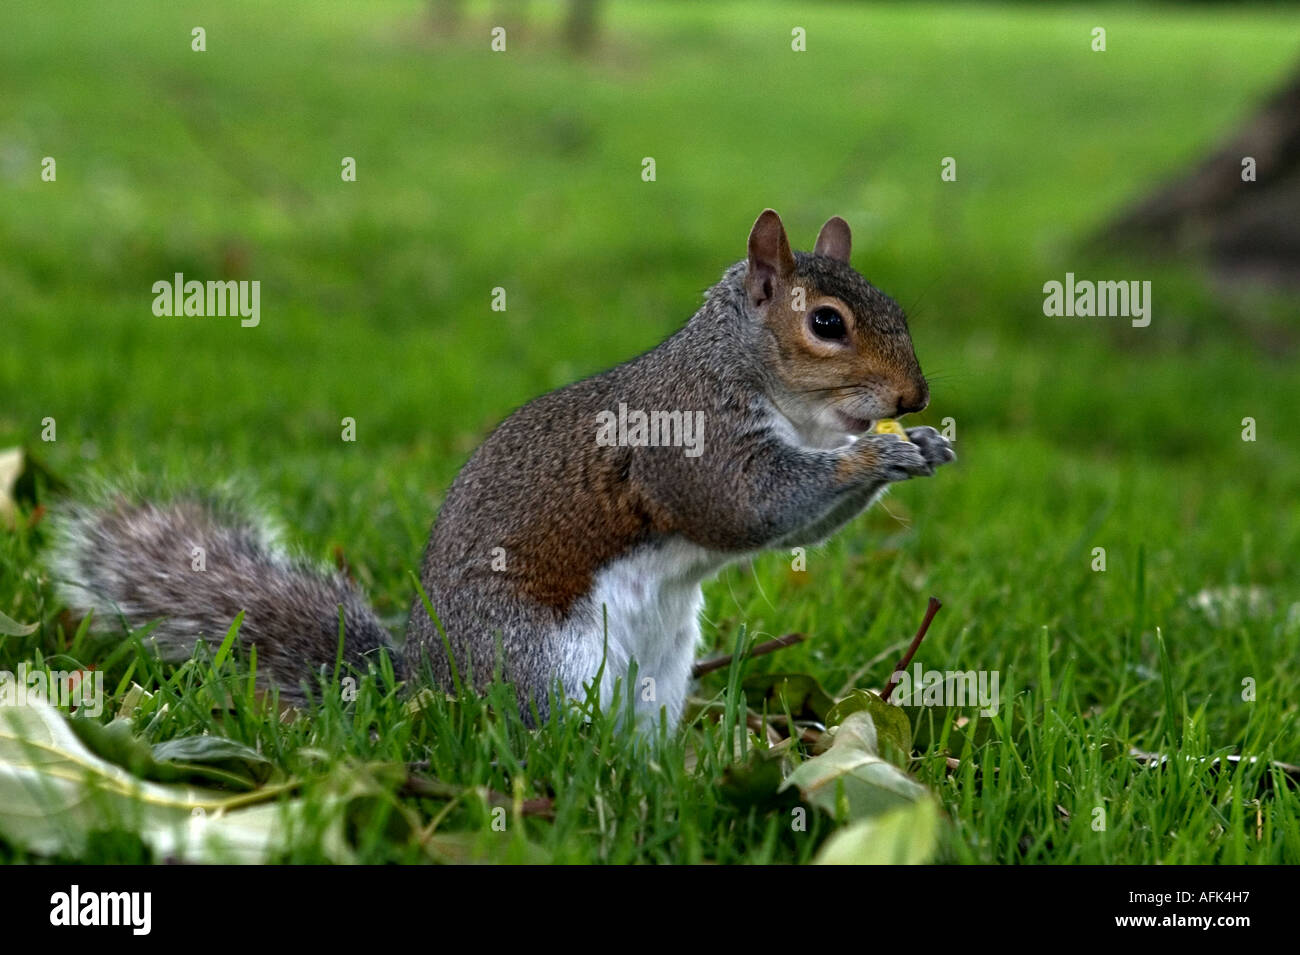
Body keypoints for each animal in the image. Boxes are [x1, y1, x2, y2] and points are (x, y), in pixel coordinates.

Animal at [49, 210, 954, 730]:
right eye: (827, 323)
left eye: (898, 308)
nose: (915, 394)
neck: (738, 367)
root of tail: (421, 685)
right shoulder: (690, 442)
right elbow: (752, 507)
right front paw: (873, 452)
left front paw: (926, 445)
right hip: (542, 666)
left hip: (661, 678)